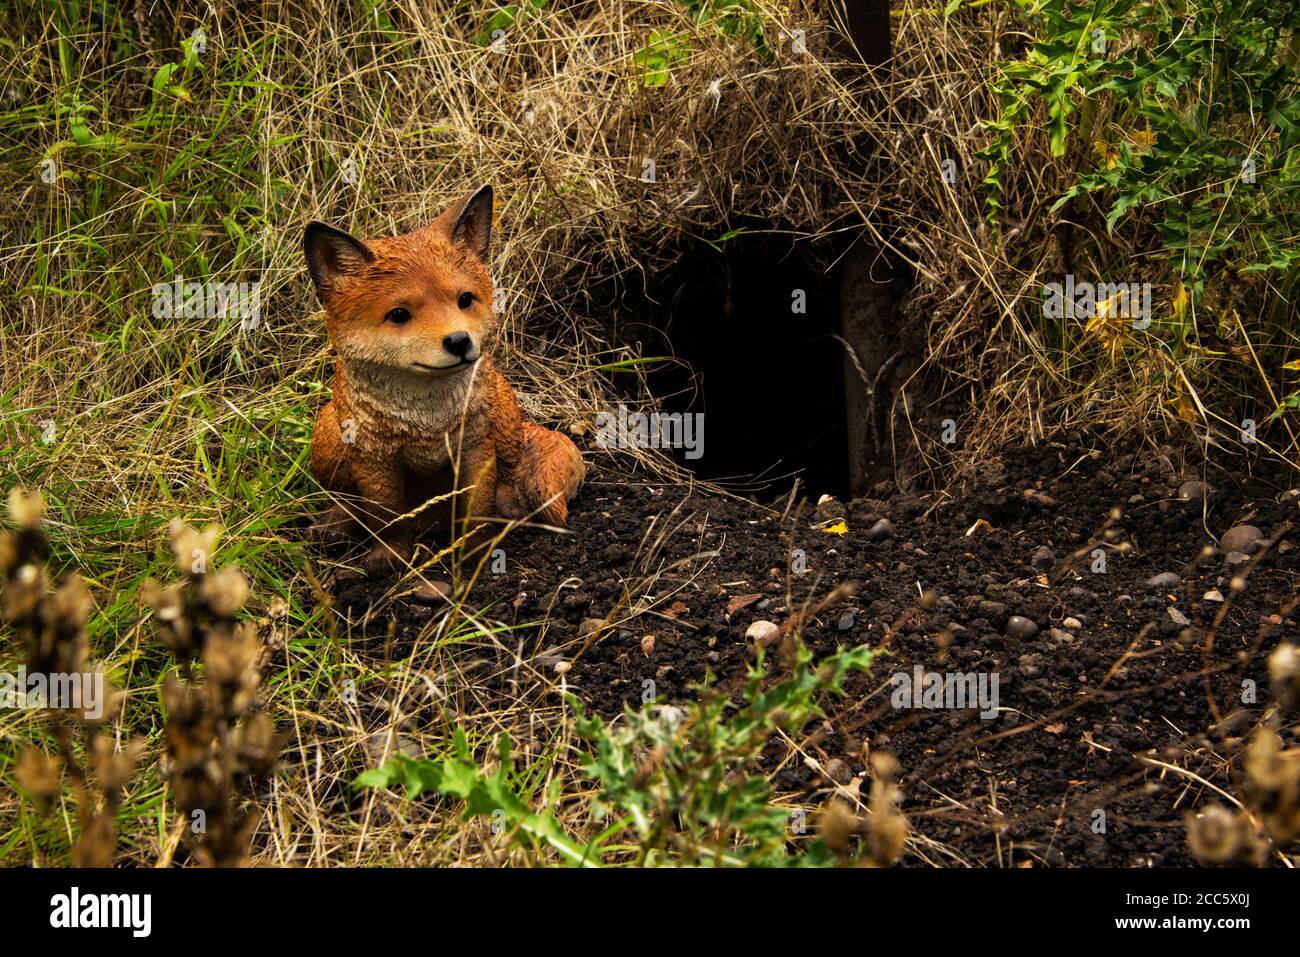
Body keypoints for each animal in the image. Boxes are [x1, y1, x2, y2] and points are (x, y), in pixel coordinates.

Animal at [303, 185, 585, 575]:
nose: (459, 341)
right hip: (328, 432)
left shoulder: (476, 446)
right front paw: (388, 557)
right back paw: (338, 522)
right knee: (352, 503)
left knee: (509, 481)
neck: (427, 422)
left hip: (505, 412)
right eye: (399, 314)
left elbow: (476, 508)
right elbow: (387, 518)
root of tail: (432, 523)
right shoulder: (374, 458)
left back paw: (510, 510)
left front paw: (476, 550)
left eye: (465, 299)